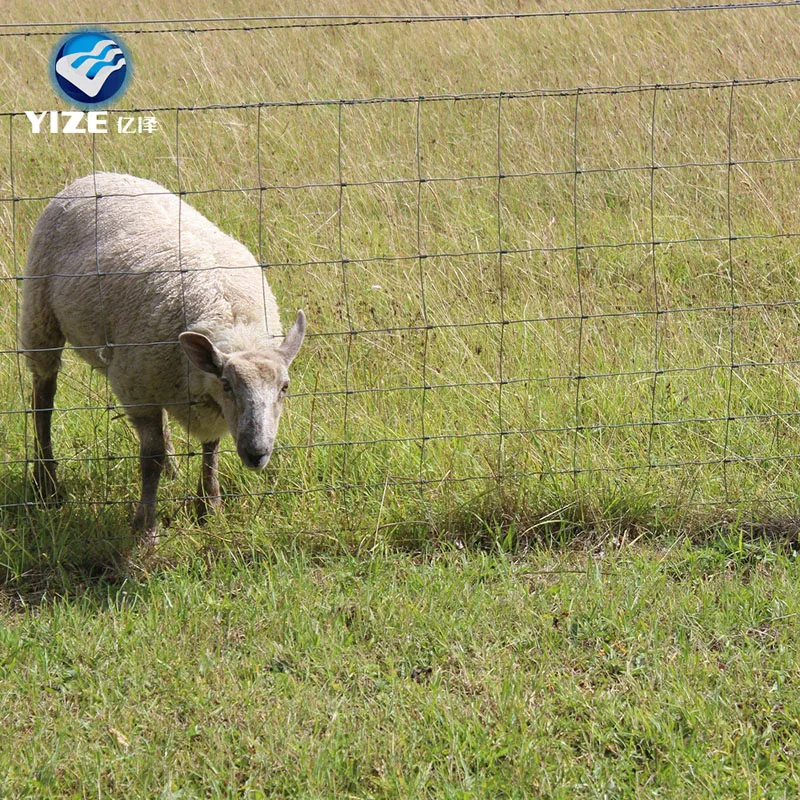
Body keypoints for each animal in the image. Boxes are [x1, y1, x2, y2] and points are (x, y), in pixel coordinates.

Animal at [21, 172, 306, 545]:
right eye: (228, 385)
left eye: (284, 388)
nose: (257, 454)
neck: (231, 318)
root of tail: (99, 174)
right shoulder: (138, 391)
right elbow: (150, 459)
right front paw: (146, 528)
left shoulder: (194, 397)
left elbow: (211, 449)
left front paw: (208, 507)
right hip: (40, 315)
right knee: (43, 399)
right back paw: (47, 483)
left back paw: (172, 467)